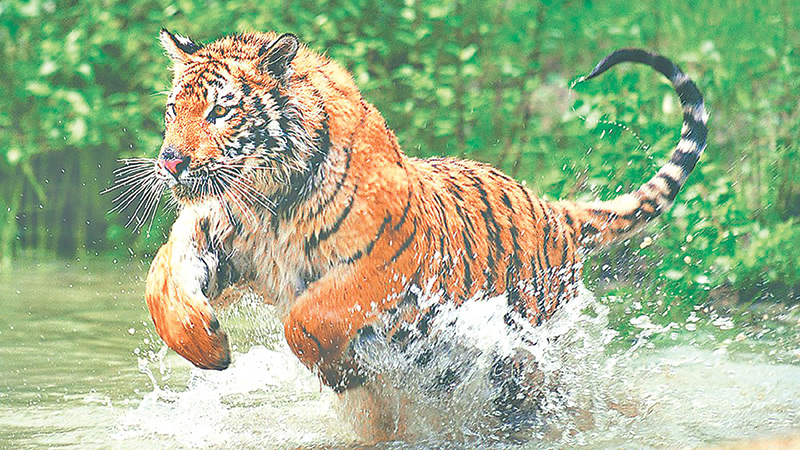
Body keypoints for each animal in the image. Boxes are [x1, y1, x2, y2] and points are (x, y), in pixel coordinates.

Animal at [132, 29, 707, 438]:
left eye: (219, 111)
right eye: (173, 109)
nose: (169, 161)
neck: (266, 200)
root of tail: (553, 209)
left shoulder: (385, 265)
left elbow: (308, 317)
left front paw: (342, 372)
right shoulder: (210, 234)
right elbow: (160, 286)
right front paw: (209, 347)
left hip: (524, 365)